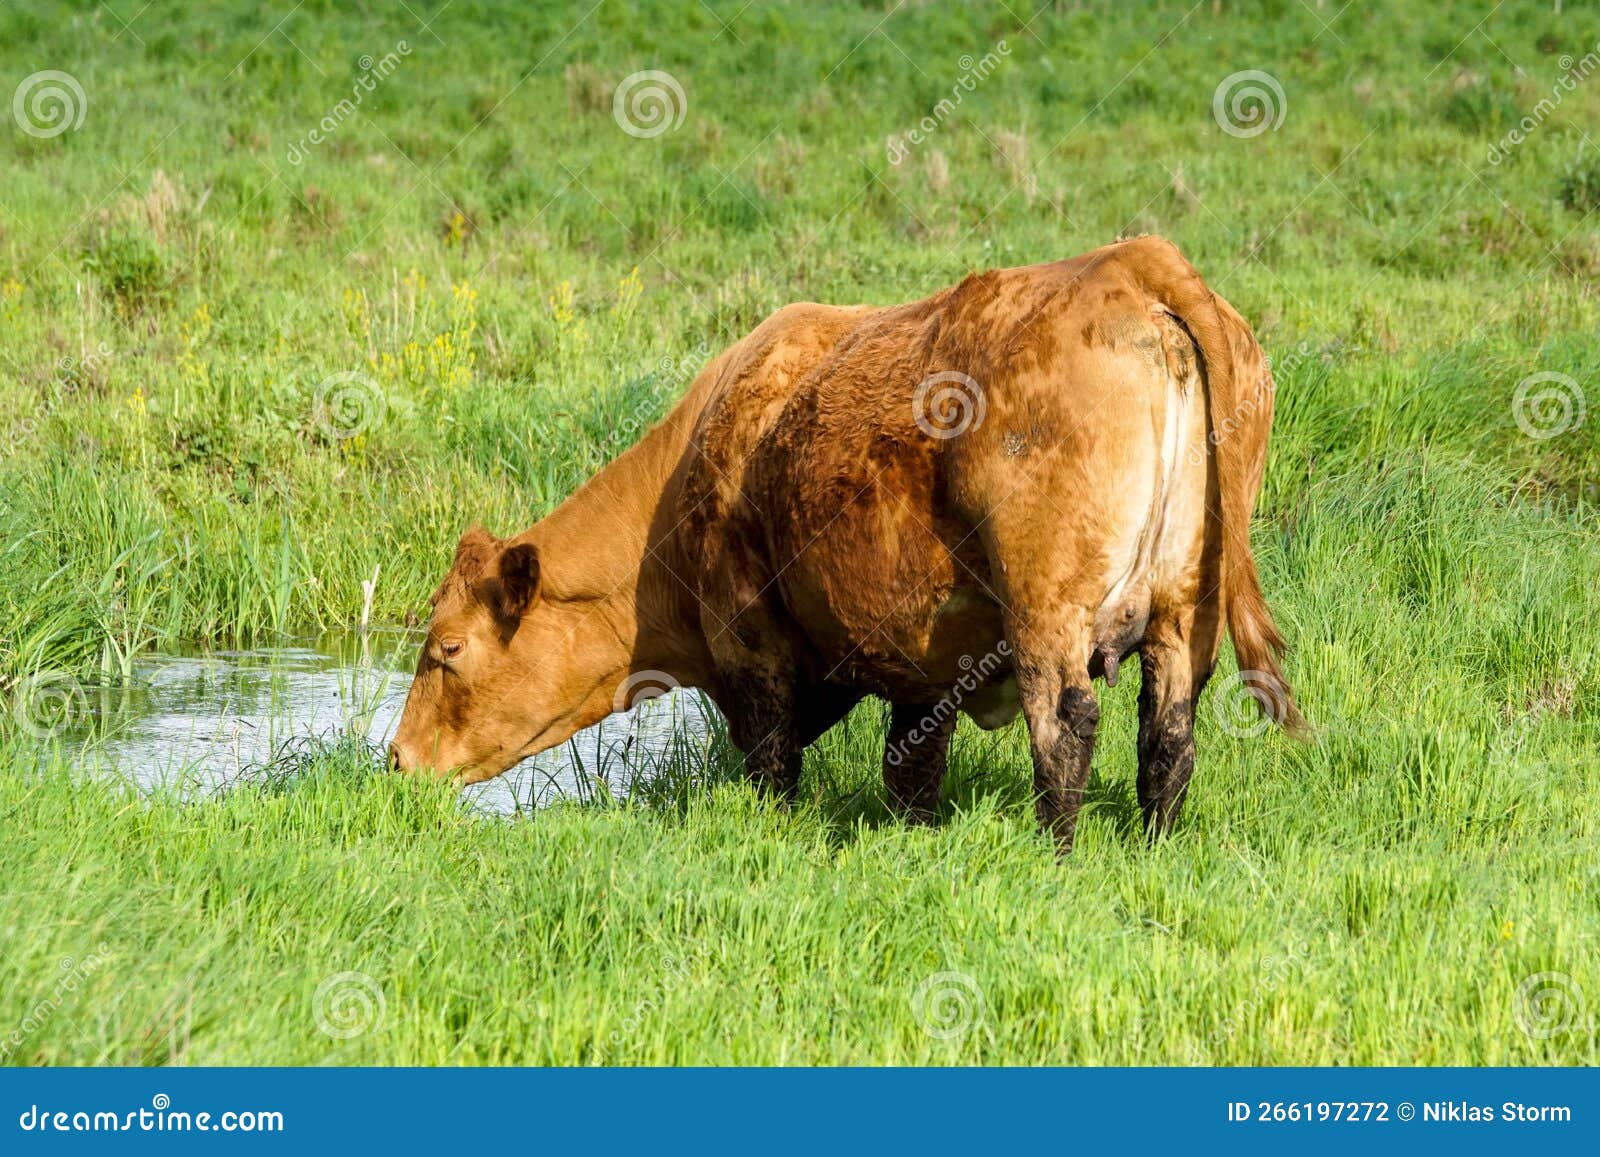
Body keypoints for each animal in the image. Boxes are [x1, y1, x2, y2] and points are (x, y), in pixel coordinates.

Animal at [389, 235, 1305, 851]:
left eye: (447, 648)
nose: (396, 759)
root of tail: (1130, 262)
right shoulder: (924, 653)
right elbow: (911, 768)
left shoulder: (747, 634)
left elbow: (771, 758)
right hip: (1183, 613)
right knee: (1167, 738)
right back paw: (1153, 847)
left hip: (1048, 607)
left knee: (1066, 729)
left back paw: (1059, 857)